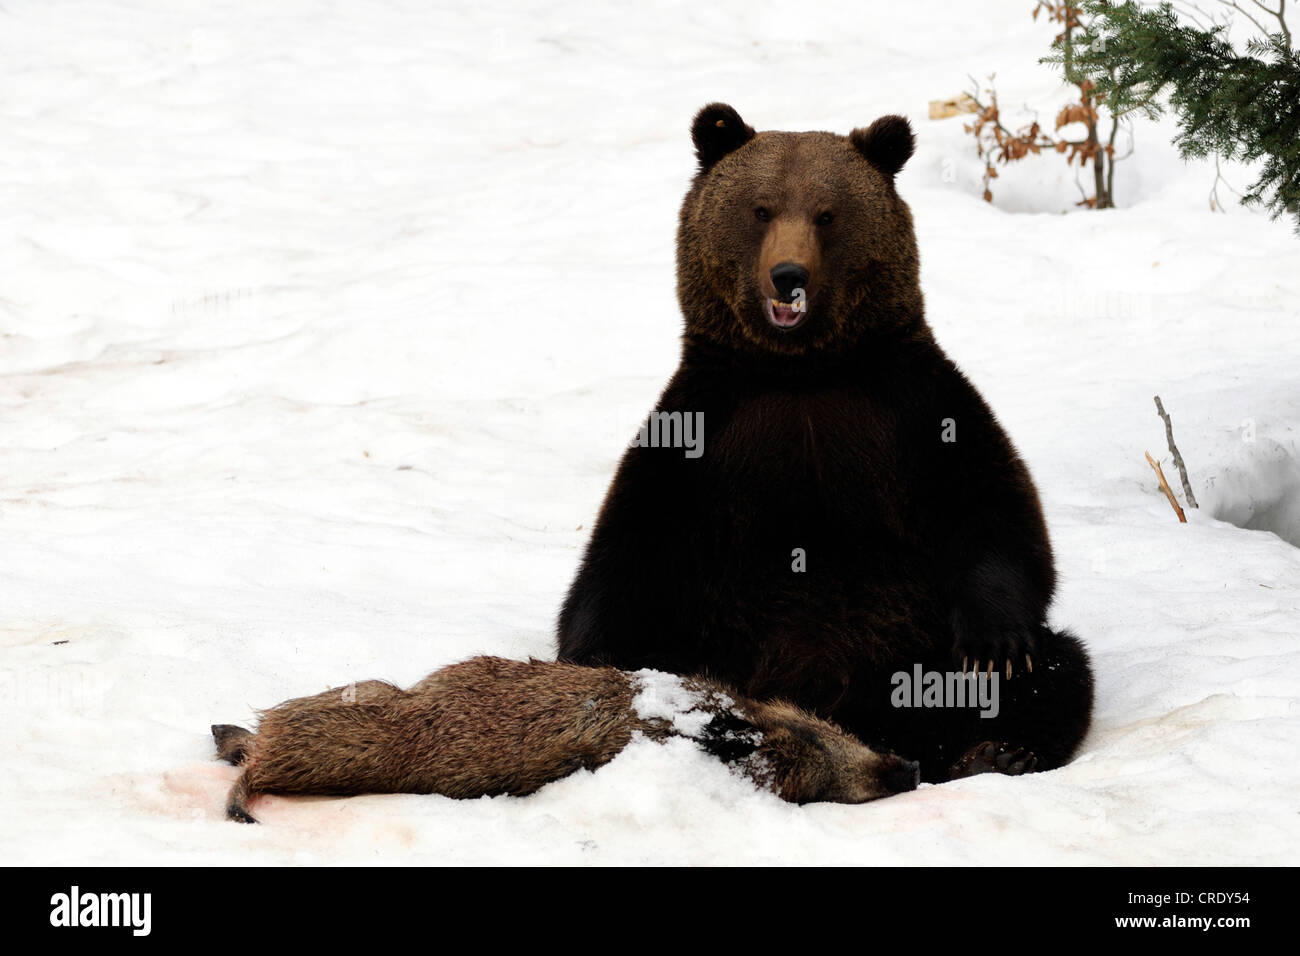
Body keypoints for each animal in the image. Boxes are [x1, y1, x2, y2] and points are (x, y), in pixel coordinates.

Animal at [557, 103, 1093, 783]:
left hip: (917, 660)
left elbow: (993, 508)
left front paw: (995, 648)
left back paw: (998, 750)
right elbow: (628, 550)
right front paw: (594, 660)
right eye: (760, 209)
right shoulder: (705, 428)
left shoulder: (912, 409)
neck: (802, 372)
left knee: (1061, 666)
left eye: (827, 213)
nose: (789, 276)